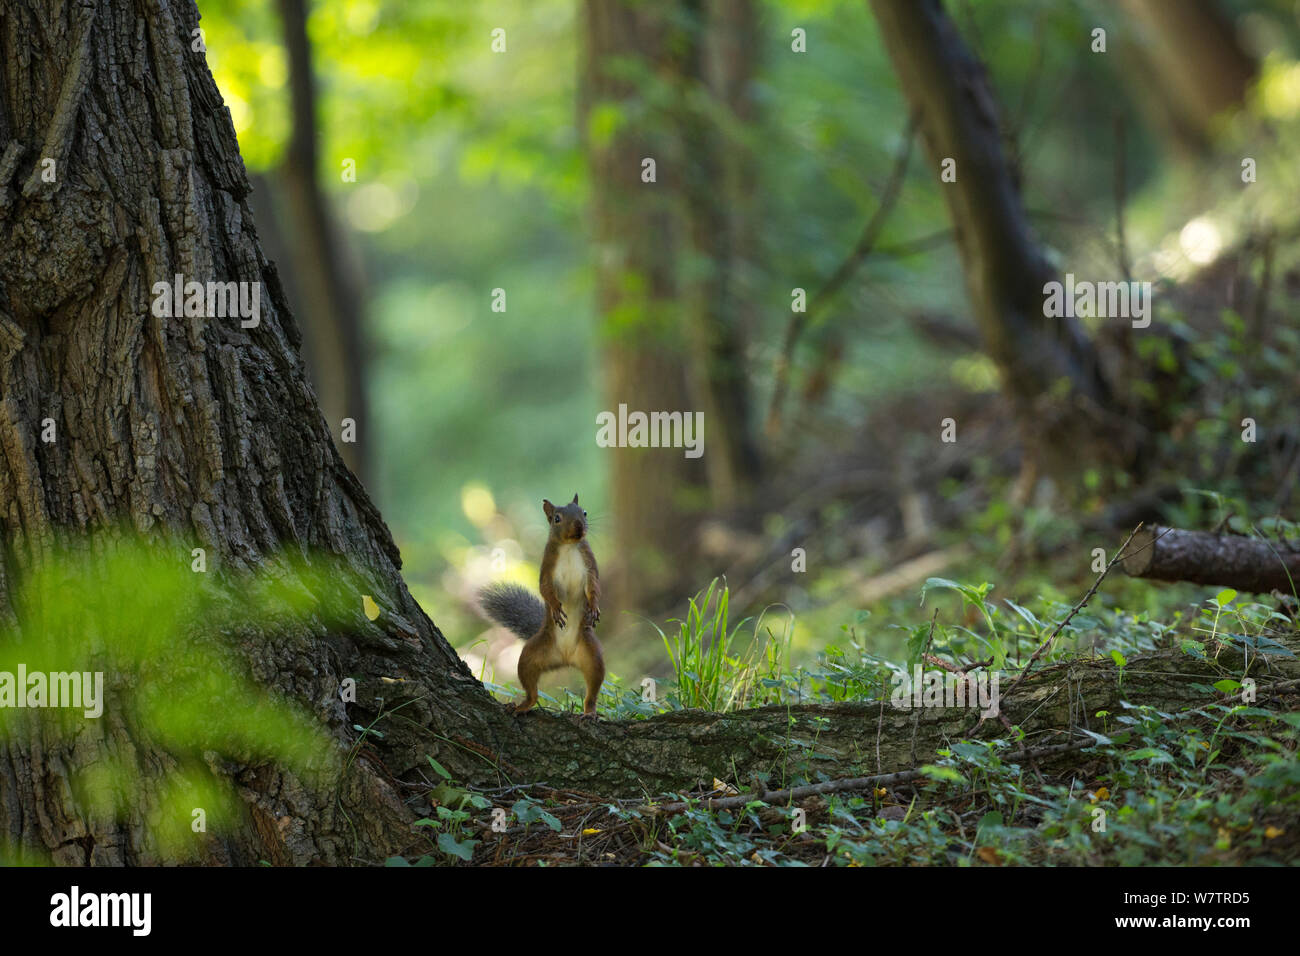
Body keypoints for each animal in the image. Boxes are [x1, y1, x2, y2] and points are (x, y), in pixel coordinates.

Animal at [479, 494, 604, 719]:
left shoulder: (590, 563)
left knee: (592, 692)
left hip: (593, 656)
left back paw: (589, 712)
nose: (579, 526)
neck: (569, 547)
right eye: (556, 518)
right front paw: (555, 607)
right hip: (530, 656)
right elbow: (545, 588)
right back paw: (523, 706)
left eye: (584, 512)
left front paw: (594, 607)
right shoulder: (547, 566)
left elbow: (594, 587)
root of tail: (565, 658)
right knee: (531, 689)